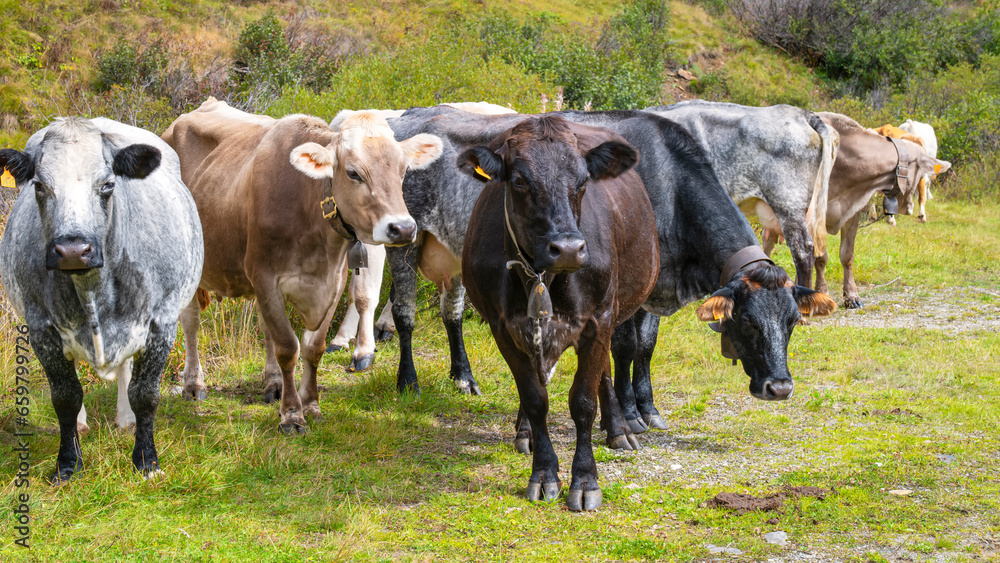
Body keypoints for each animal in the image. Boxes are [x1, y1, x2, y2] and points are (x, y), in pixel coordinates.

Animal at [0, 117, 203, 484]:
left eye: (108, 185)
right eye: (39, 185)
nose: (72, 250)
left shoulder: (161, 323)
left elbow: (145, 394)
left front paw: (146, 460)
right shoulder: (40, 328)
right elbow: (65, 396)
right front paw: (68, 463)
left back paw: (125, 419)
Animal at [161, 98, 442, 434]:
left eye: (403, 170)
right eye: (353, 173)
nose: (402, 228)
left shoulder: (332, 281)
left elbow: (312, 347)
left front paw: (311, 404)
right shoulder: (265, 277)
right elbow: (287, 346)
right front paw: (292, 414)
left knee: (263, 327)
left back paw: (272, 384)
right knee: (191, 323)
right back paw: (194, 384)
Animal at [460, 114, 660, 511]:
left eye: (583, 182)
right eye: (519, 181)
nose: (567, 248)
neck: (541, 277)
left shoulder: (598, 320)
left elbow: (583, 401)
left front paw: (584, 479)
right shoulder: (502, 327)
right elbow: (535, 399)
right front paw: (544, 473)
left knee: (603, 373)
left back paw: (618, 430)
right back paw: (525, 432)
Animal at [815, 112, 951, 308]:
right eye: (919, 170)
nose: (907, 207)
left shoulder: (853, 210)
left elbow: (847, 255)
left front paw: (852, 295)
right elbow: (819, 256)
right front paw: (821, 293)